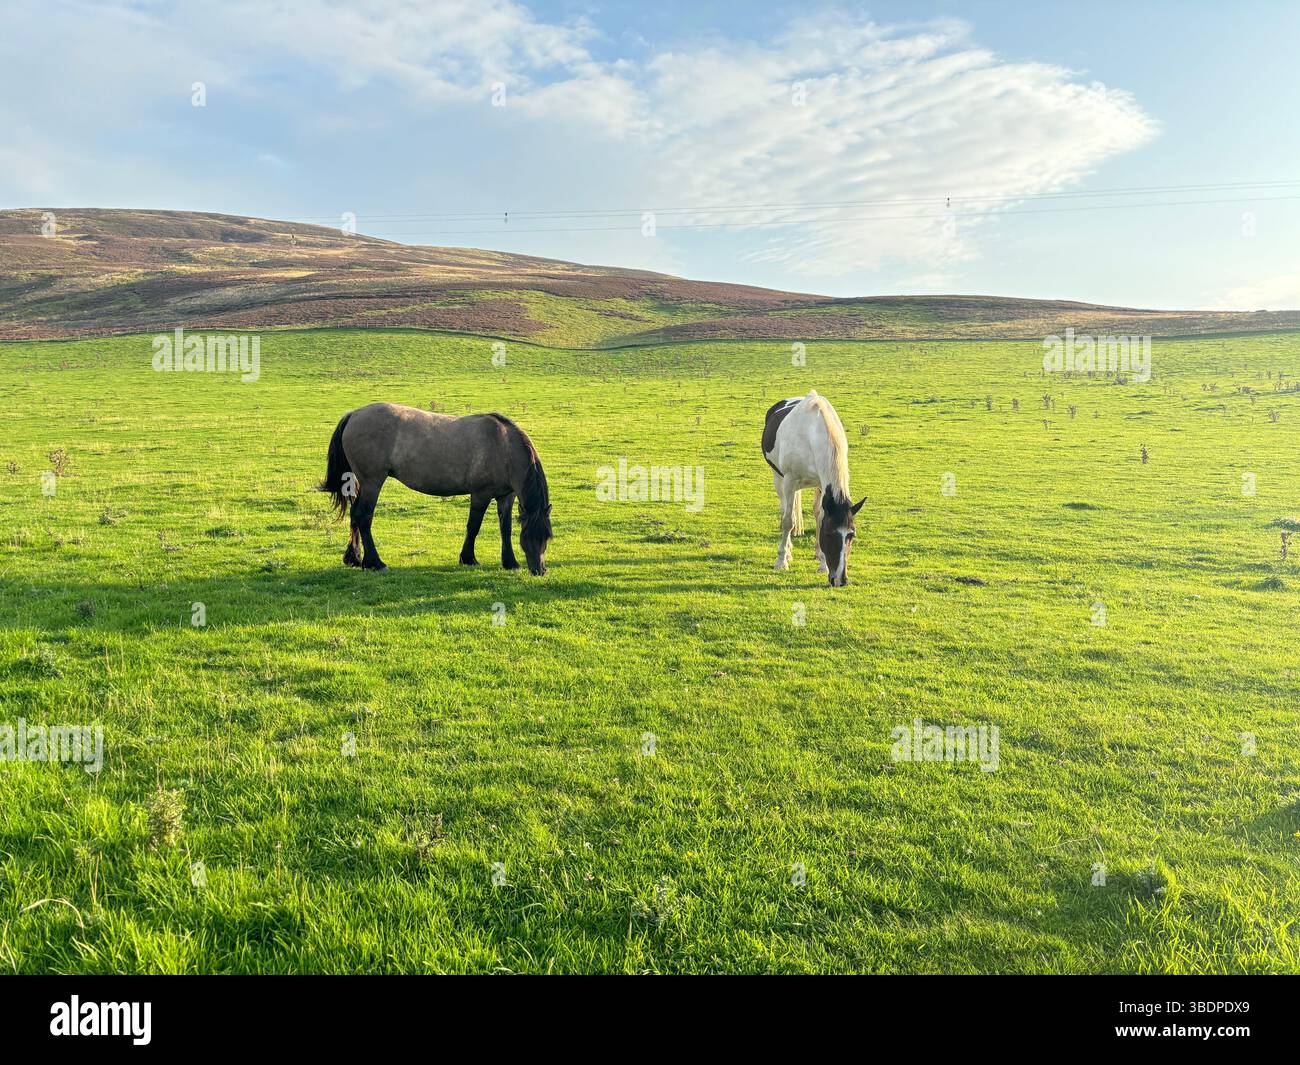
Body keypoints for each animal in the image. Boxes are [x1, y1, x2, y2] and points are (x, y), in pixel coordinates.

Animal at [318, 403, 552, 575]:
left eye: (547, 537)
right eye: (529, 538)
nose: (539, 570)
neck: (503, 446)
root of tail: (355, 414)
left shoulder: (506, 496)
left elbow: (505, 528)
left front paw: (510, 562)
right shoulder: (481, 494)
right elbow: (473, 526)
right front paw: (468, 558)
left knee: (355, 516)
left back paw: (355, 558)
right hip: (372, 482)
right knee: (363, 516)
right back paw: (375, 562)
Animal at [761, 390, 865, 586]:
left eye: (851, 535)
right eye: (830, 534)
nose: (840, 580)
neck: (813, 435)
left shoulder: (822, 484)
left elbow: (820, 517)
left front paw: (822, 563)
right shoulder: (790, 480)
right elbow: (788, 521)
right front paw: (781, 561)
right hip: (779, 477)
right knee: (785, 511)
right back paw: (787, 551)